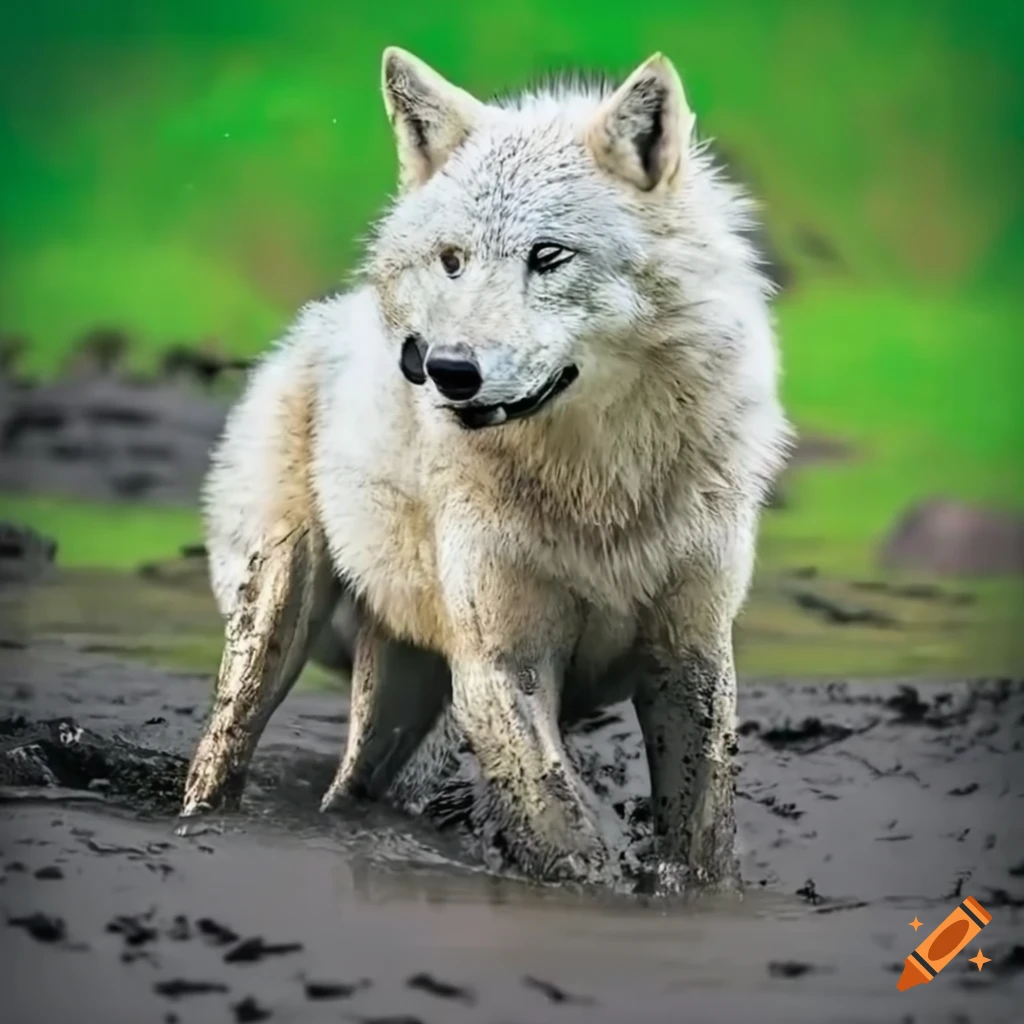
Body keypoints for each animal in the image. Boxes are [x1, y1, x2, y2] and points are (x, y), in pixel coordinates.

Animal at [178, 47, 792, 887]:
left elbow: (701, 841)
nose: (446, 370)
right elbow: (567, 832)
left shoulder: (690, 662)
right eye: (453, 262)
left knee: (354, 790)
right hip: (275, 632)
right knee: (222, 759)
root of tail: (316, 323)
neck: (599, 489)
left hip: (406, 701)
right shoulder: (502, 669)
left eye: (549, 256)